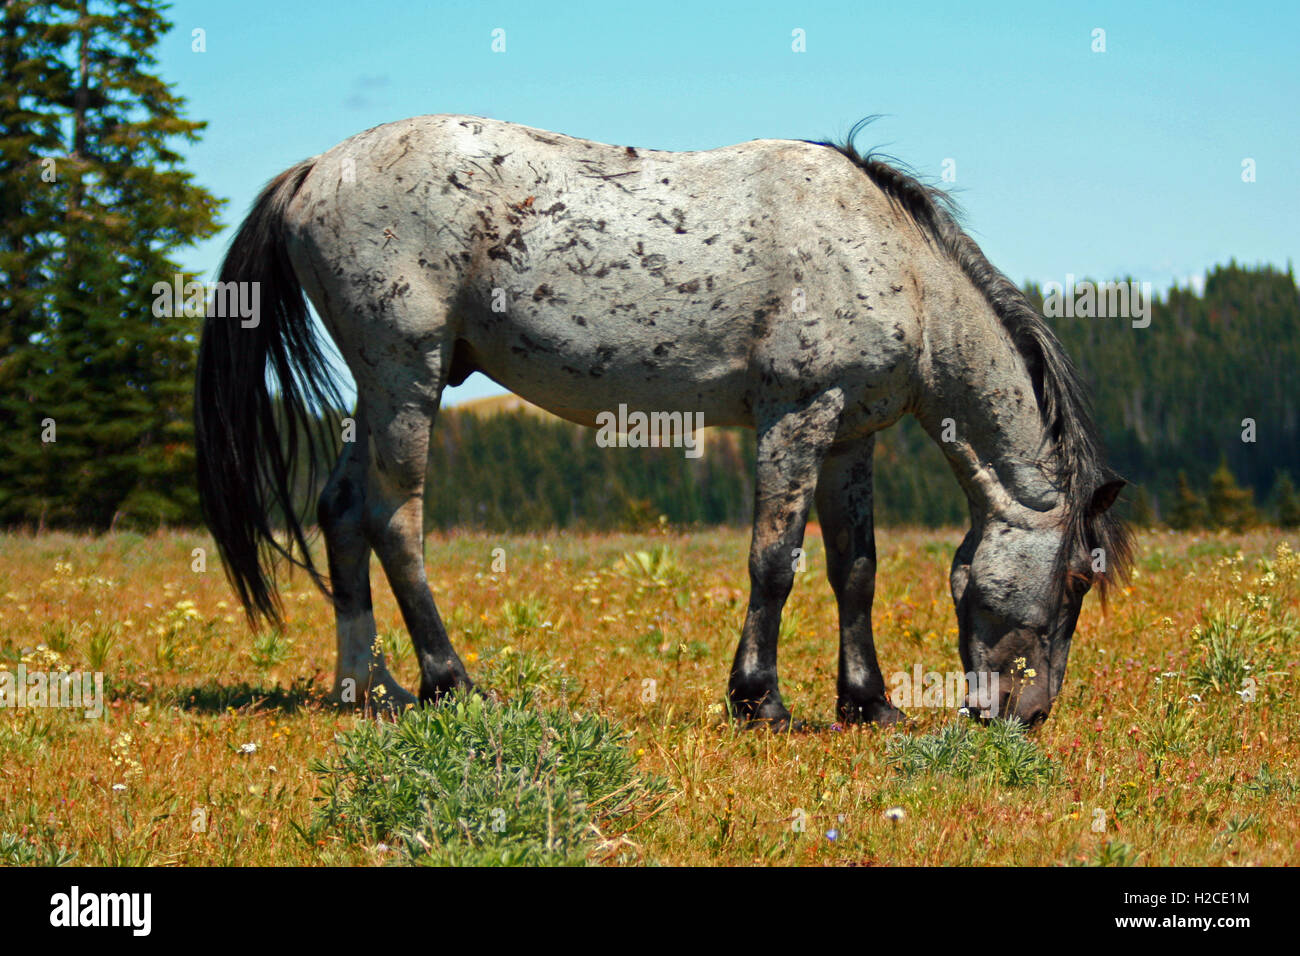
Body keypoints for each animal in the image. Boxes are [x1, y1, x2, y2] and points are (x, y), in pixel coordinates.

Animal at [195, 115, 1132, 728]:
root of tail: (314, 171)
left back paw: (367, 690)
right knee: (395, 519)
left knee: (341, 511)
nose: (1028, 714)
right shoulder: (797, 417)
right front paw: (760, 700)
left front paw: (867, 704)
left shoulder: (850, 437)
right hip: (405, 377)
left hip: (379, 388)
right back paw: (449, 682)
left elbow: (855, 569)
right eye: (1077, 583)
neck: (898, 267)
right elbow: (774, 562)